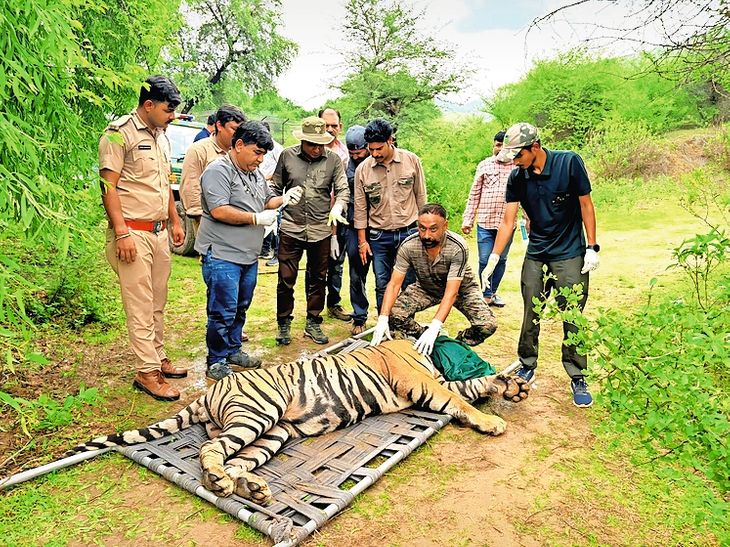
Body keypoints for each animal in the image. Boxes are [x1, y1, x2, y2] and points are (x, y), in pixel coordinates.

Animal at [68, 340, 529, 504]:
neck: (427, 353)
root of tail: (209, 394)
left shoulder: (436, 381)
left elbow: (472, 388)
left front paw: (511, 386)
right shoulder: (423, 383)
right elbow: (461, 399)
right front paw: (492, 420)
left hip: (272, 433)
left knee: (235, 460)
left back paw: (249, 489)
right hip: (259, 413)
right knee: (210, 449)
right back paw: (221, 482)